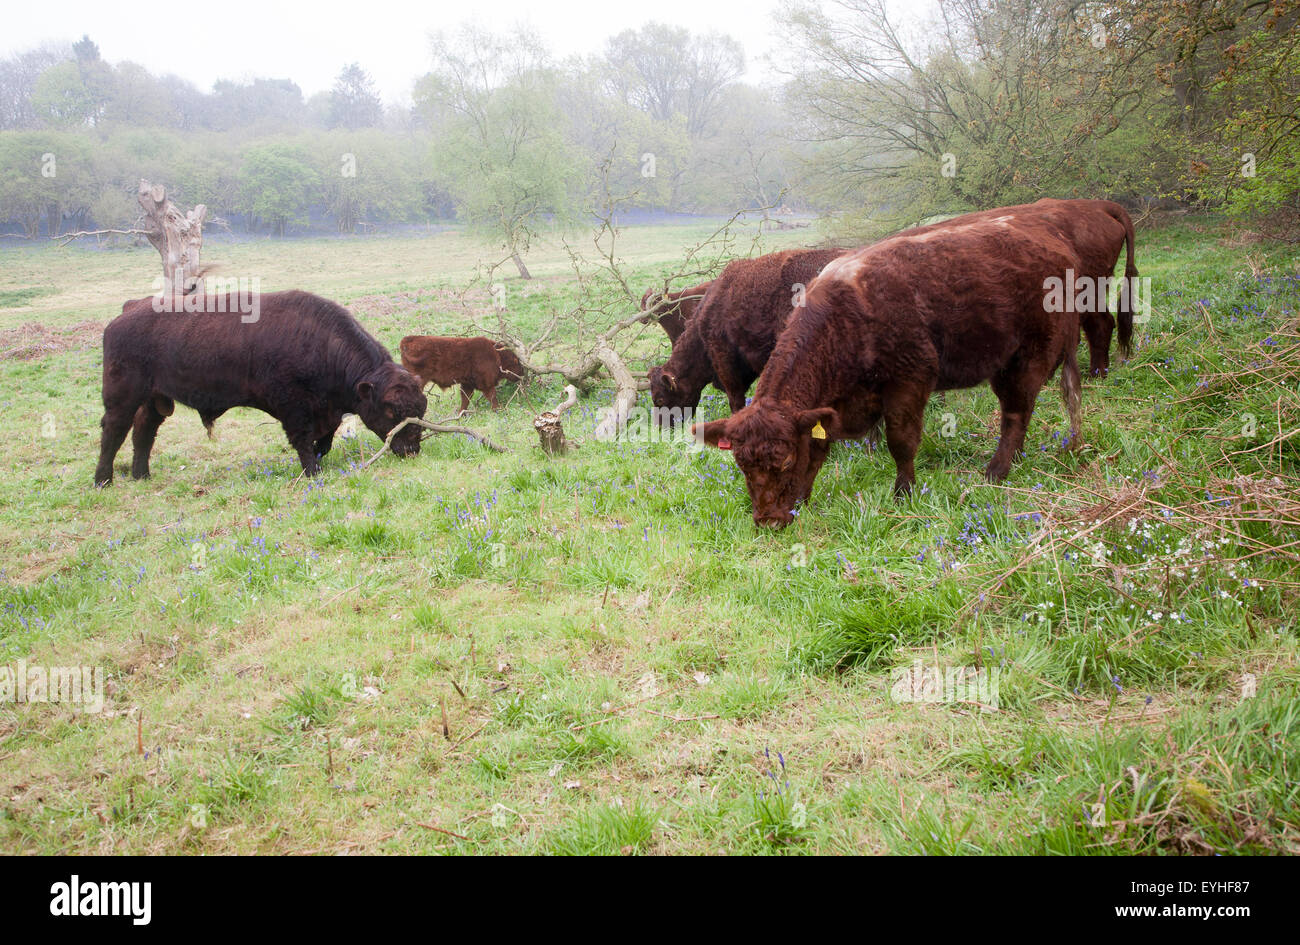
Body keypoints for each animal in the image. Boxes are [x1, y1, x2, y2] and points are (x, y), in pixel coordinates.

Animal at [94, 290, 428, 486]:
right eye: (392, 410)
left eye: (421, 408)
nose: (412, 449)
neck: (320, 343)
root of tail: (128, 310)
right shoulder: (294, 409)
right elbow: (304, 442)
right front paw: (312, 473)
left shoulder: (326, 413)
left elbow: (324, 442)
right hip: (123, 396)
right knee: (114, 431)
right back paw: (103, 480)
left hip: (154, 400)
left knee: (143, 432)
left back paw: (142, 475)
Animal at [694, 216, 1085, 527]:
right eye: (742, 465)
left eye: (786, 459)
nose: (768, 521)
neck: (846, 318)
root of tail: (1052, 240)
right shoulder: (829, 405)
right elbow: (819, 450)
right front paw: (803, 500)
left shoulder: (909, 381)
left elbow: (901, 443)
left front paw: (903, 494)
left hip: (1028, 357)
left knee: (1016, 413)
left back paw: (996, 471)